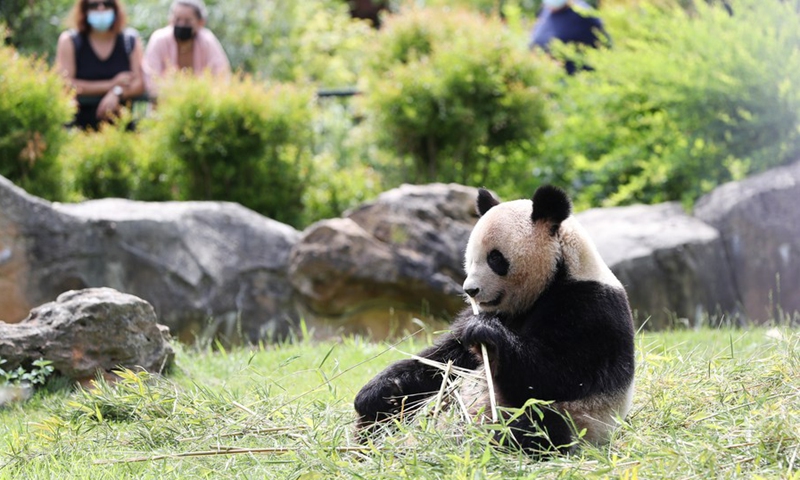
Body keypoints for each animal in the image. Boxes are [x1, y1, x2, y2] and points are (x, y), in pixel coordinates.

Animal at [354, 185, 635, 455]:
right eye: (469, 259)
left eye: (495, 258)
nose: (471, 290)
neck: (556, 276)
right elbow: (442, 360)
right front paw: (377, 390)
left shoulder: (591, 308)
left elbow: (558, 374)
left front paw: (485, 333)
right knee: (388, 417)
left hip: (581, 421)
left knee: (541, 425)